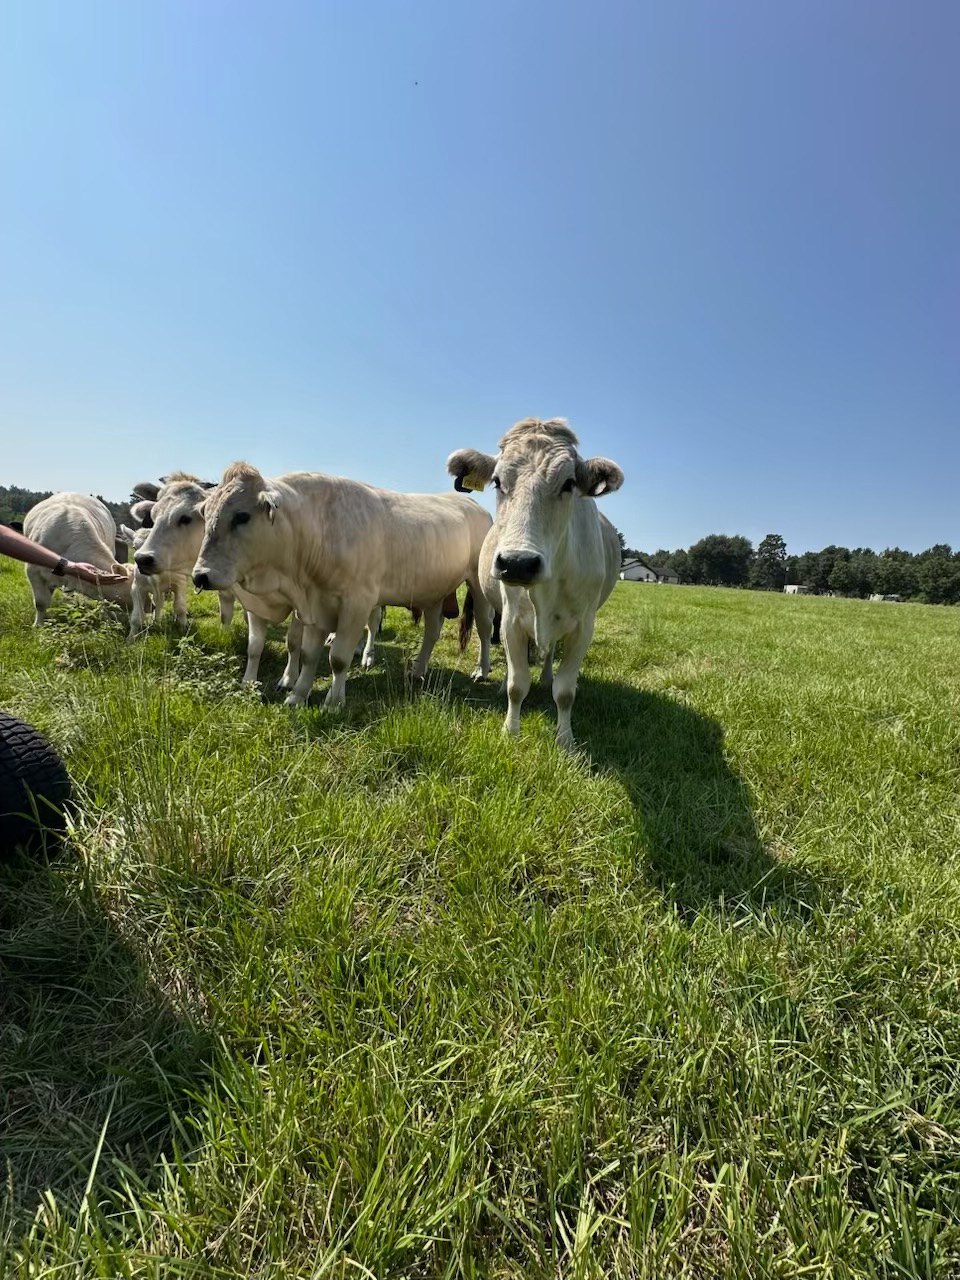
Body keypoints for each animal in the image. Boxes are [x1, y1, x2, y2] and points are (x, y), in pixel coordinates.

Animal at [191, 462, 494, 708]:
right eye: (206, 513)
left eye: (242, 516)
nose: (200, 575)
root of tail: (475, 506)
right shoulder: (314, 605)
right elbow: (308, 654)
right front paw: (297, 695)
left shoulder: (356, 603)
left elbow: (337, 658)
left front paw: (334, 702)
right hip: (433, 592)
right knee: (432, 631)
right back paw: (418, 670)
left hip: (478, 589)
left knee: (484, 628)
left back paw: (481, 669)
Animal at [447, 418, 623, 749]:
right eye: (497, 481)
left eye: (569, 484)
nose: (518, 562)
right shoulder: (511, 620)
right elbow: (517, 684)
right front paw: (510, 730)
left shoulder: (583, 626)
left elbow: (565, 692)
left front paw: (565, 739)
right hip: (488, 603)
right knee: (487, 633)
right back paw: (485, 671)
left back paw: (546, 677)